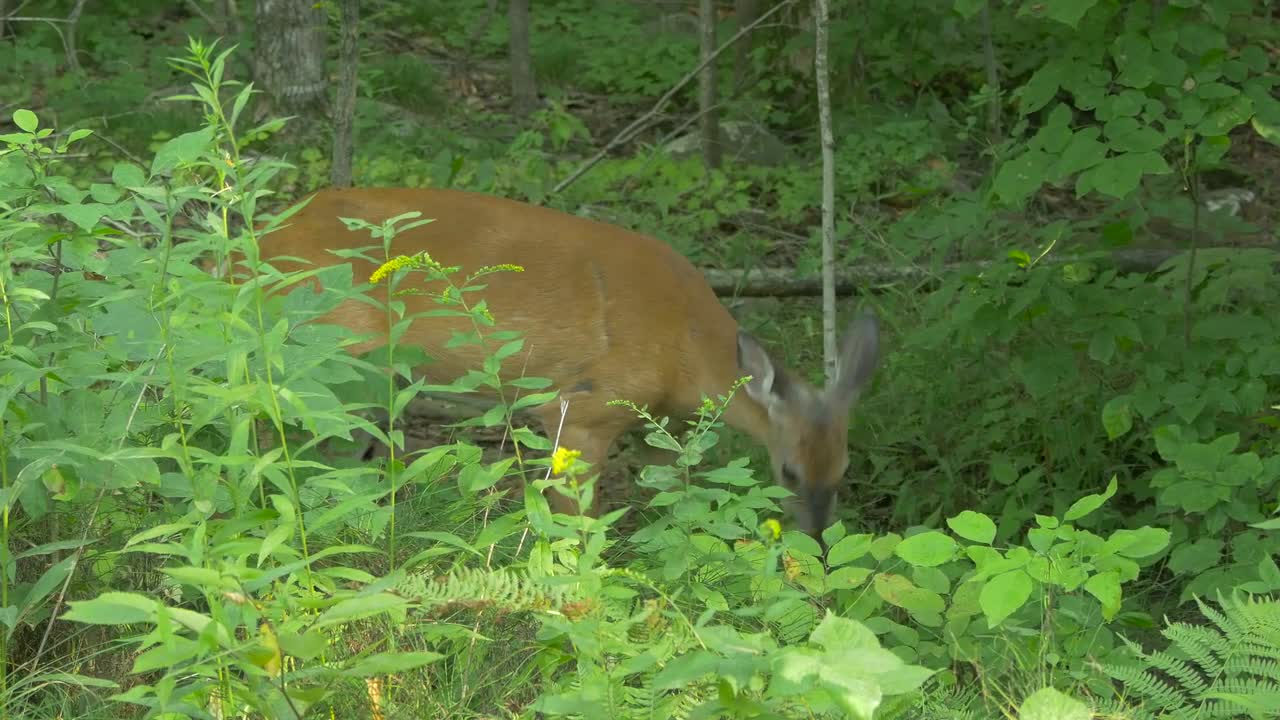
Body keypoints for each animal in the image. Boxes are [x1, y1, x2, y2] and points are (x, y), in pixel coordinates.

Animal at [225, 186, 881, 537]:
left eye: (845, 469)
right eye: (789, 471)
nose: (819, 539)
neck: (688, 348)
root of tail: (231, 258)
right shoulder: (581, 406)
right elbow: (577, 520)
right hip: (330, 355)